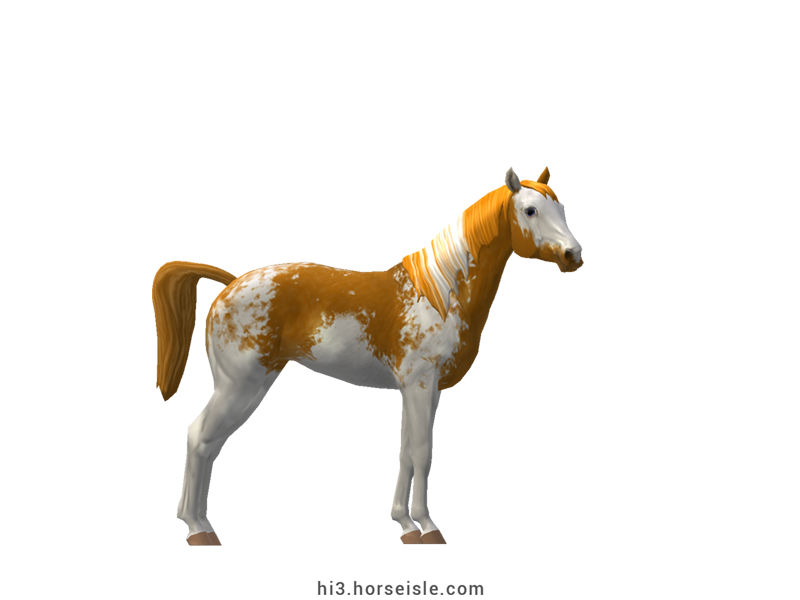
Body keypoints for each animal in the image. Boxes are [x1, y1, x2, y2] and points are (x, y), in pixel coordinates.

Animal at [175, 167, 582, 542]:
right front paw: (428, 525)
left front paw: (403, 522)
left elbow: (406, 452)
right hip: (238, 387)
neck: (440, 295)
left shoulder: (418, 389)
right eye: (530, 210)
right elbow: (422, 451)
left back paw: (190, 520)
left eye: (560, 206)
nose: (573, 254)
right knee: (197, 437)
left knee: (201, 441)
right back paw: (196, 527)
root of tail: (227, 286)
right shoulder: (419, 384)